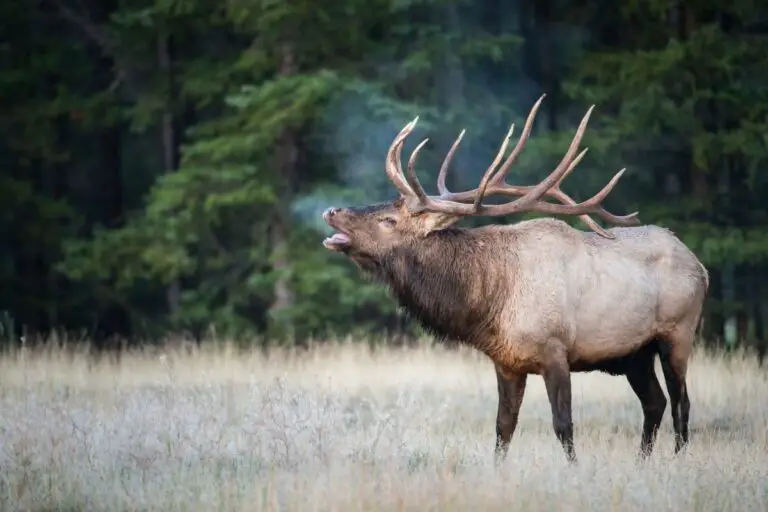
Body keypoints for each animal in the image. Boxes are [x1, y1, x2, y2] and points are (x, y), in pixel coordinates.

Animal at [321, 94, 709, 463]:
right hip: (635, 354)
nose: (331, 210)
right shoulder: (506, 362)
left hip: (678, 333)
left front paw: (574, 470)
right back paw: (642, 463)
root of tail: (700, 266)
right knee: (655, 403)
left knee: (681, 403)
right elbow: (503, 427)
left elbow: (563, 424)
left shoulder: (555, 349)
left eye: (388, 220)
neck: (491, 301)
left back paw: (677, 461)